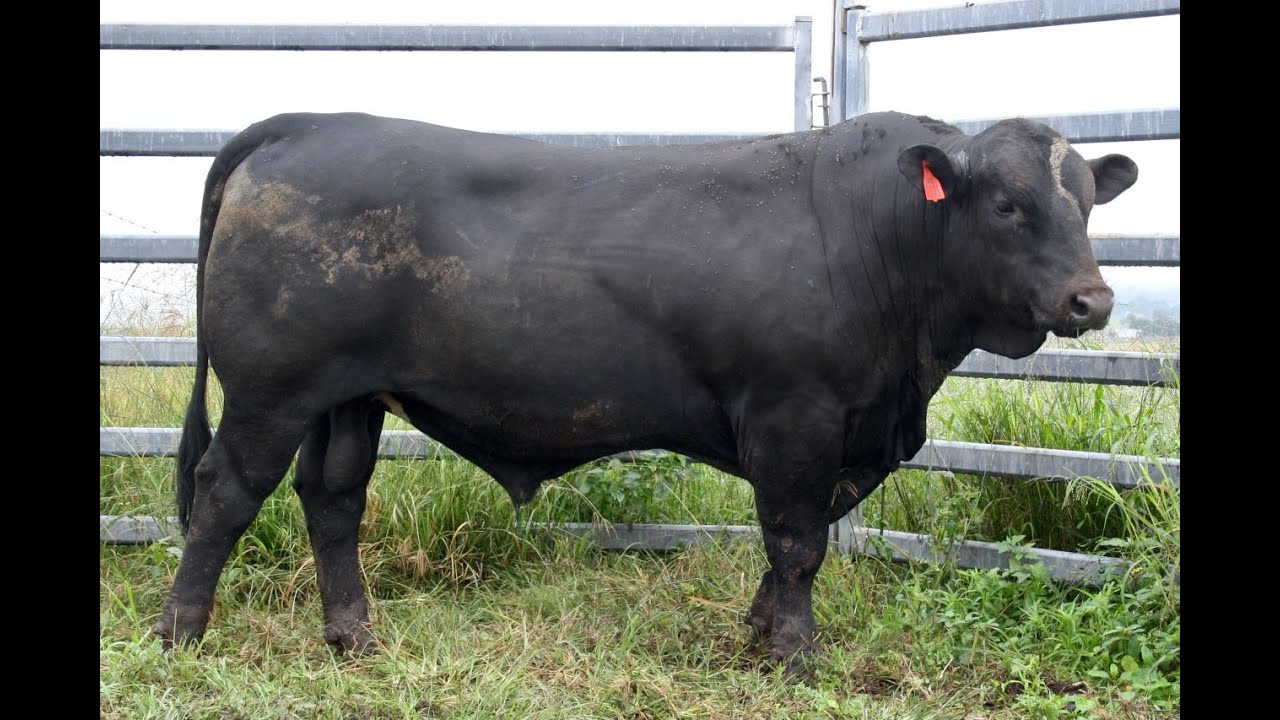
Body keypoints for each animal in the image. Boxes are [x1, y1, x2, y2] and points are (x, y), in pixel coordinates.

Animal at [153, 110, 1136, 673]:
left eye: (1089, 204)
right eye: (1007, 205)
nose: (1090, 300)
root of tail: (307, 123)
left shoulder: (842, 435)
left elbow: (802, 538)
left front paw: (760, 635)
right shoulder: (795, 415)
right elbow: (796, 541)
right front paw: (796, 657)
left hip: (346, 397)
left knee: (332, 499)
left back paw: (353, 639)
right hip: (271, 391)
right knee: (225, 495)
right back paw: (180, 636)